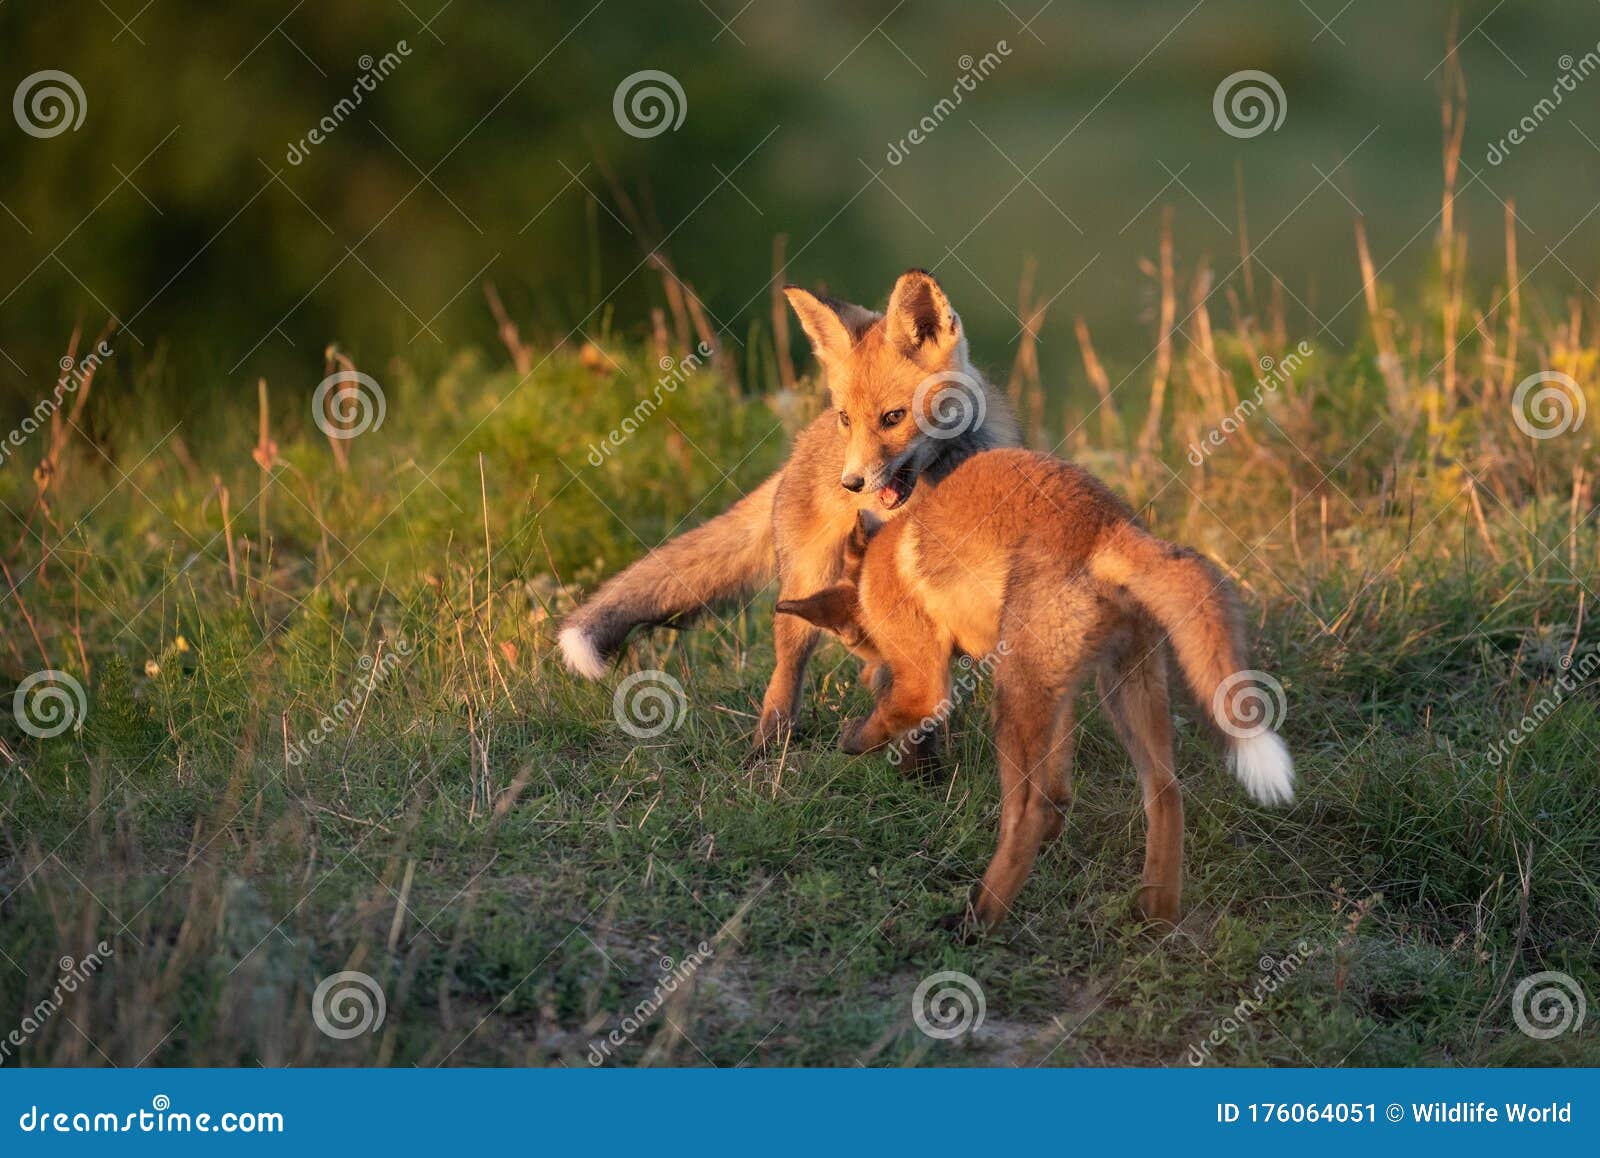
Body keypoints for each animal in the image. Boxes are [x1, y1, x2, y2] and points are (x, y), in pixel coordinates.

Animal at [558, 269, 1020, 748]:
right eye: (847, 419)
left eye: (893, 417)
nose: (851, 483)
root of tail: (796, 452)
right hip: (805, 582)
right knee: (788, 669)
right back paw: (771, 741)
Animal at [773, 448, 1295, 931]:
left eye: (856, 643)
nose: (866, 674)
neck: (875, 567)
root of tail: (1110, 525)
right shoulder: (1059, 696)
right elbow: (1060, 782)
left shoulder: (928, 682)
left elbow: (898, 713)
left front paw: (855, 740)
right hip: (1120, 691)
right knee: (1165, 795)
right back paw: (1157, 921)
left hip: (1013, 698)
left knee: (1028, 813)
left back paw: (978, 917)